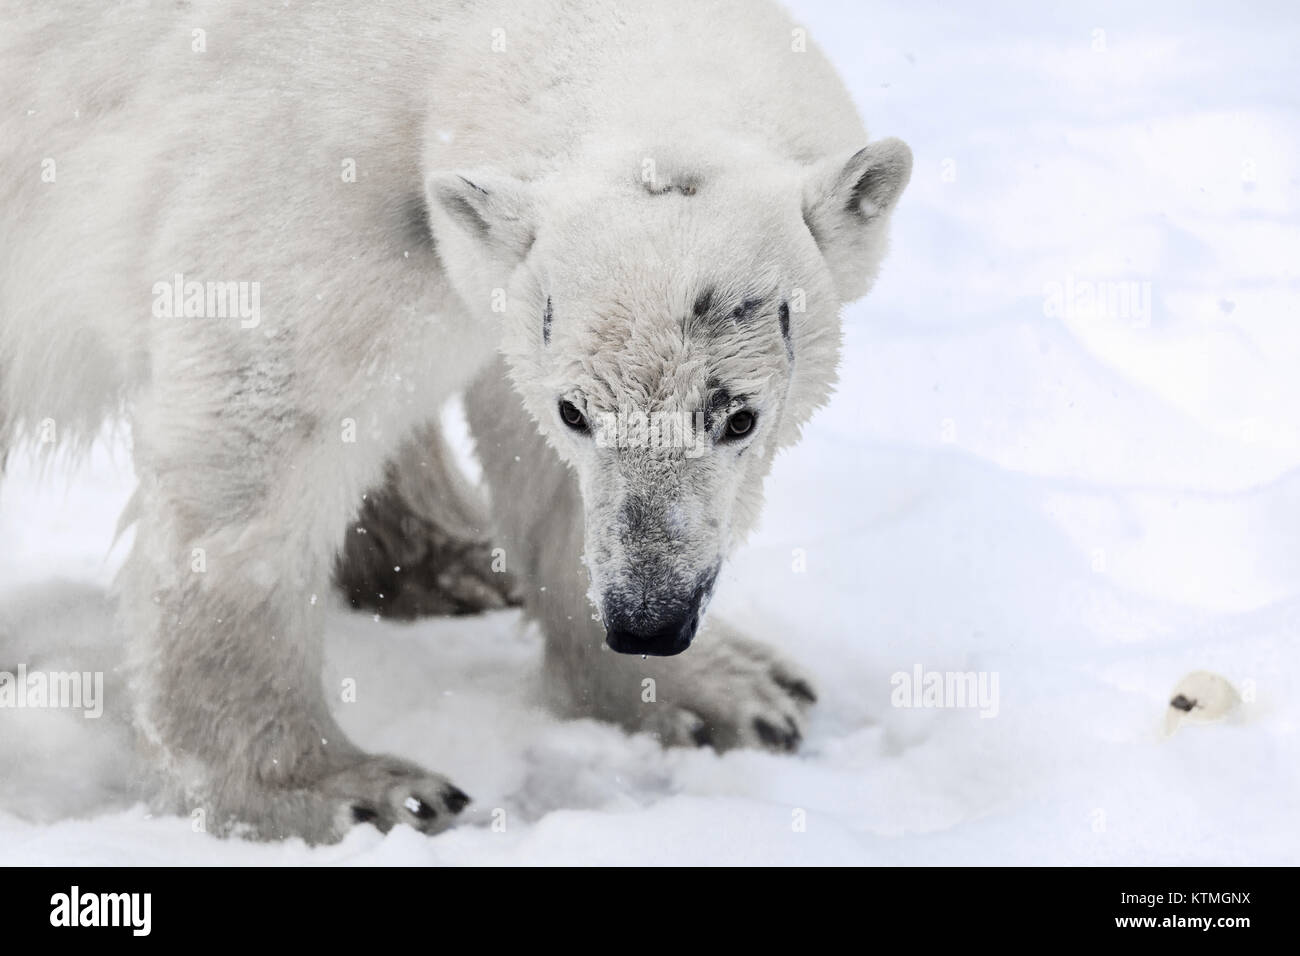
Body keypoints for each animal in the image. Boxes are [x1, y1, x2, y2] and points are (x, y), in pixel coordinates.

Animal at [0, 0, 911, 843]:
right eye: (577, 410)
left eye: (738, 418)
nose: (649, 619)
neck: (444, 40)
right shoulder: (292, 179)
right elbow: (260, 442)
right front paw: (346, 791)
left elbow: (527, 443)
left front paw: (729, 693)